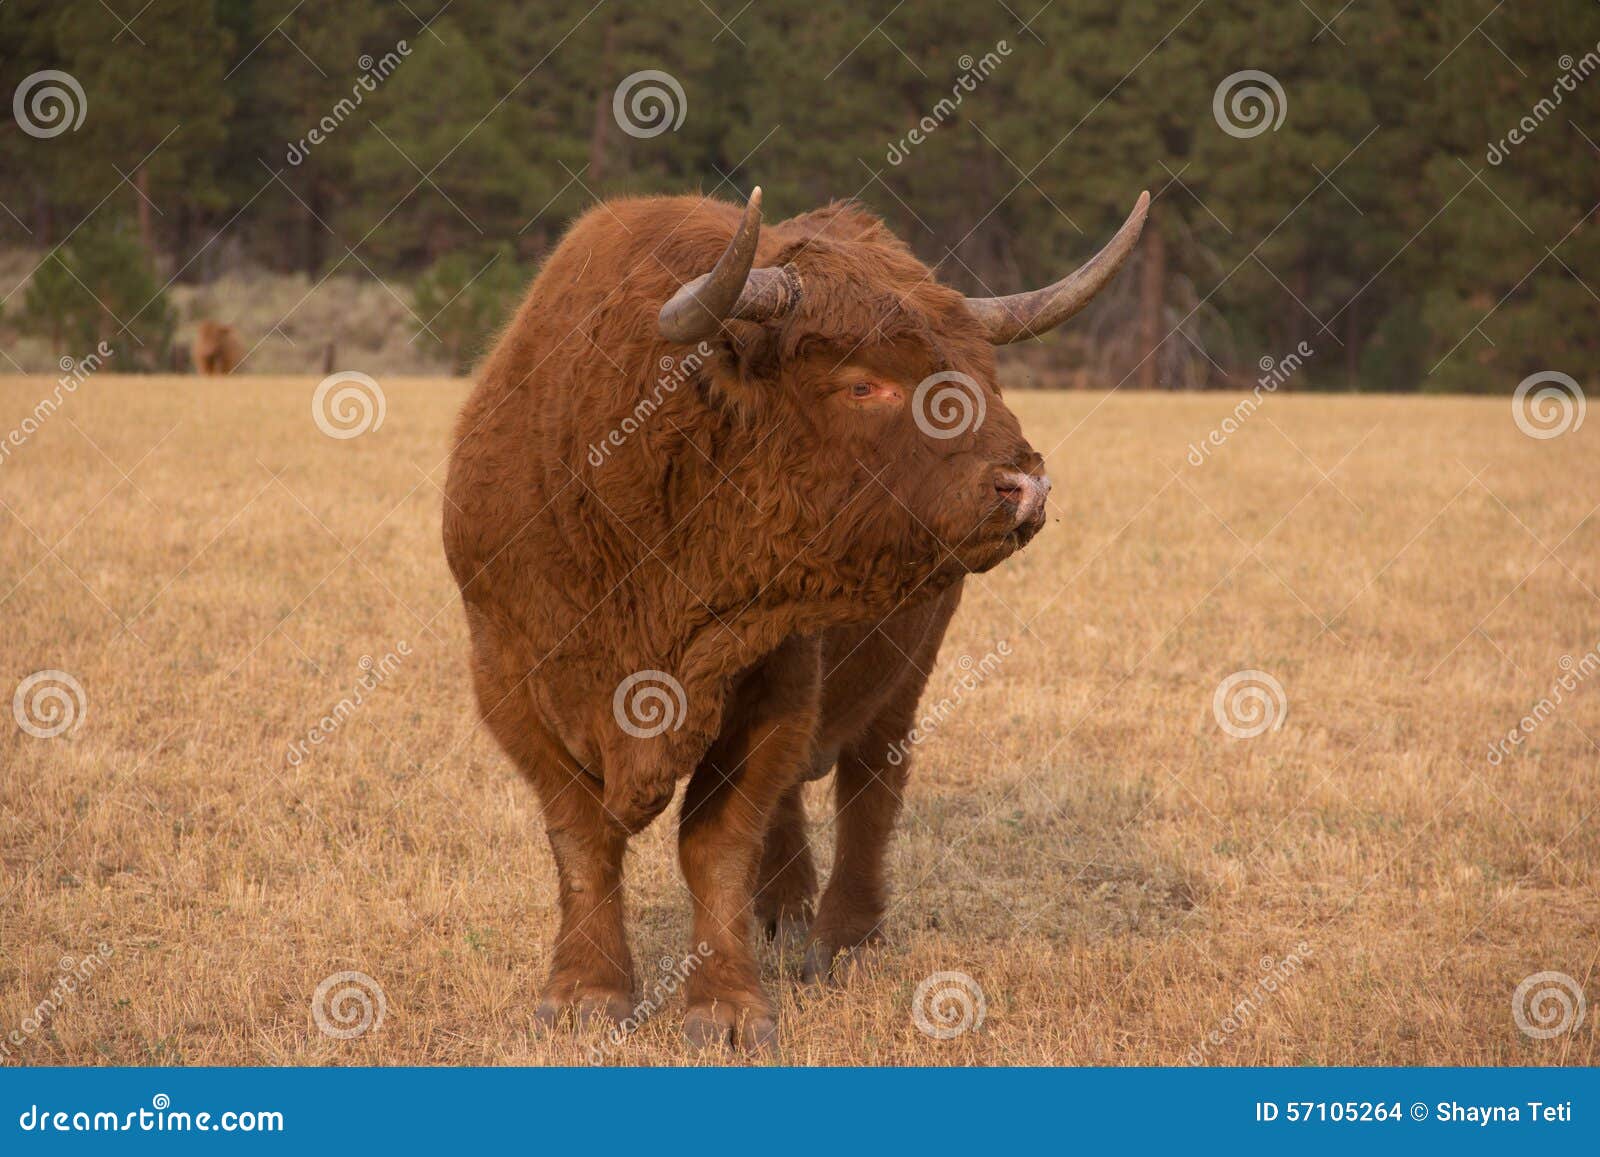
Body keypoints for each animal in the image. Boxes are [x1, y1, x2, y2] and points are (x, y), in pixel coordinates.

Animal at [442, 186, 1147, 1055]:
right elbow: (581, 837)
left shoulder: (774, 683)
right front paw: (584, 993)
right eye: (862, 384)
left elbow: (713, 840)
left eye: (984, 373)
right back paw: (782, 909)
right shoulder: (508, 674)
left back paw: (843, 936)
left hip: (904, 673)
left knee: (871, 784)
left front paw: (726, 1009)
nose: (1025, 486)